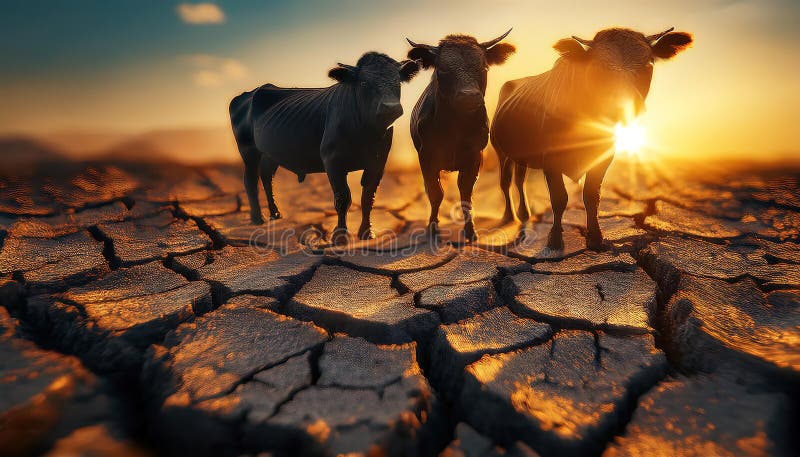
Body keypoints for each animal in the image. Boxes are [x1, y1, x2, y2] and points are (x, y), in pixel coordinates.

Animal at [229, 52, 420, 243]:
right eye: (364, 83)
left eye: (398, 81)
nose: (390, 107)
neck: (367, 131)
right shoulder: (333, 160)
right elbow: (343, 198)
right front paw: (340, 235)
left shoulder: (378, 162)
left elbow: (368, 197)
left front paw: (367, 231)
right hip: (248, 151)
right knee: (251, 181)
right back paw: (257, 218)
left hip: (270, 153)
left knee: (267, 177)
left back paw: (275, 213)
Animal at [406, 30, 516, 241]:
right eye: (442, 69)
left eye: (484, 67)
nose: (469, 96)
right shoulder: (426, 156)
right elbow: (435, 193)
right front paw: (432, 228)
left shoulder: (475, 155)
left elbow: (466, 192)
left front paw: (471, 231)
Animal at [491, 27, 692, 251]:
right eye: (598, 67)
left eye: (648, 64)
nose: (626, 104)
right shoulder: (550, 160)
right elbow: (559, 198)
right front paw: (555, 239)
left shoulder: (603, 157)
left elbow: (591, 195)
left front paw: (595, 237)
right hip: (500, 151)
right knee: (506, 182)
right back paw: (510, 216)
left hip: (522, 154)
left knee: (520, 180)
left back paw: (524, 213)